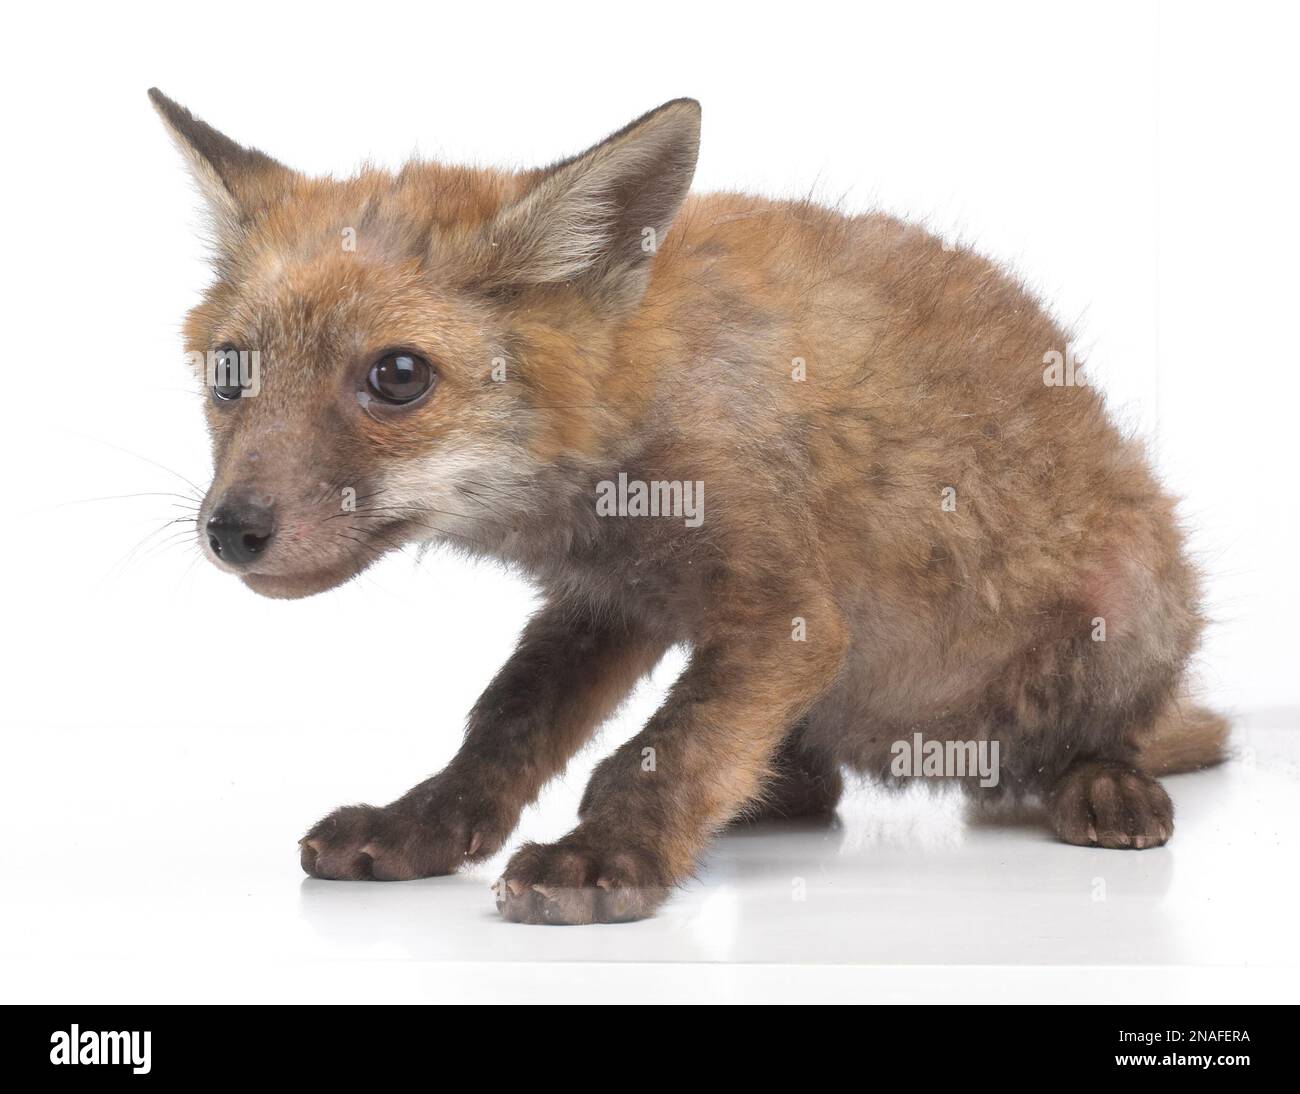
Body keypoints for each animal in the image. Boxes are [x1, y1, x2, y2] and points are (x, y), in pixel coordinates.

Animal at [150, 88, 1228, 924]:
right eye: (232, 371)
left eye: (399, 376)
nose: (231, 530)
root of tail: (955, 761)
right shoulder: (608, 601)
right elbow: (507, 723)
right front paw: (423, 824)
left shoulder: (782, 611)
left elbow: (669, 747)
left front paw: (605, 857)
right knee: (812, 777)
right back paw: (770, 795)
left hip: (1134, 597)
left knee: (1105, 735)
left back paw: (1101, 780)